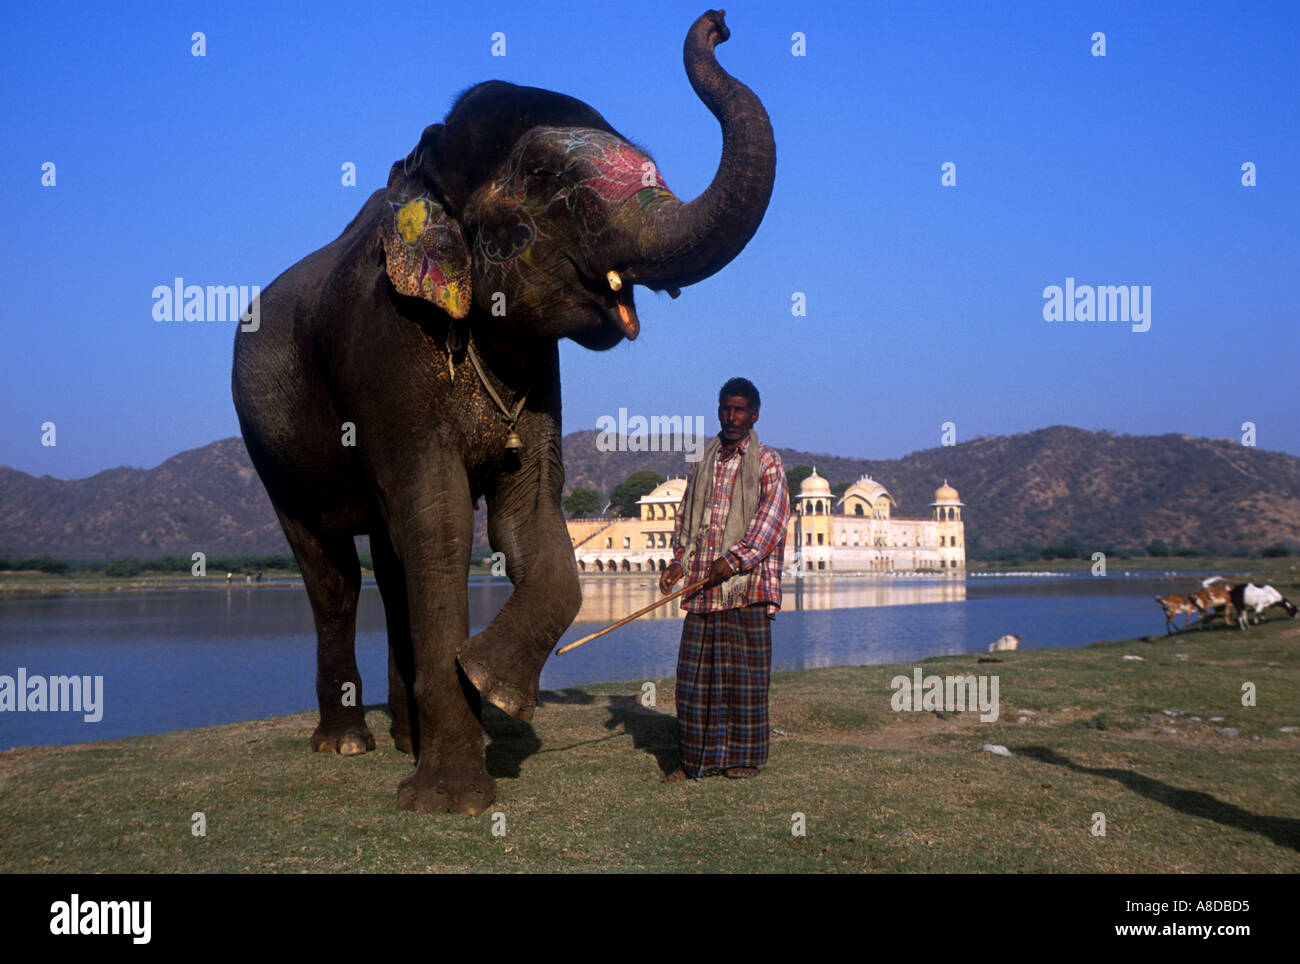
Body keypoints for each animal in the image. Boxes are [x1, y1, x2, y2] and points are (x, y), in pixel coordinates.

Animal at [230, 9, 775, 814]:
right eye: (545, 176)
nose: (719, 23)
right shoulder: (387, 345)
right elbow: (443, 522)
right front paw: (451, 798)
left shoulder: (539, 369)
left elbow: (529, 519)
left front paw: (487, 681)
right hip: (266, 443)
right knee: (333, 575)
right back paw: (346, 743)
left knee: (390, 561)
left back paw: (402, 738)